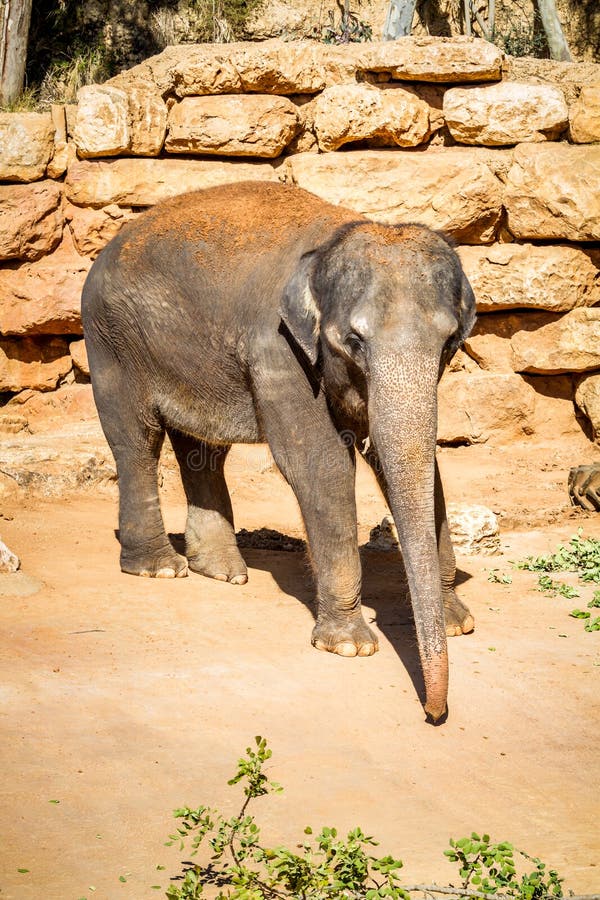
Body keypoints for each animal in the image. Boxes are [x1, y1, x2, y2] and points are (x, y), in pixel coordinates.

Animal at [81, 180, 476, 722]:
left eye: (449, 341)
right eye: (353, 340)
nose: (434, 714)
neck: (338, 235)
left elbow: (415, 461)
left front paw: (459, 622)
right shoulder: (278, 349)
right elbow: (320, 464)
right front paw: (350, 646)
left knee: (203, 450)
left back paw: (223, 573)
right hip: (112, 340)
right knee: (135, 440)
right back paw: (161, 568)